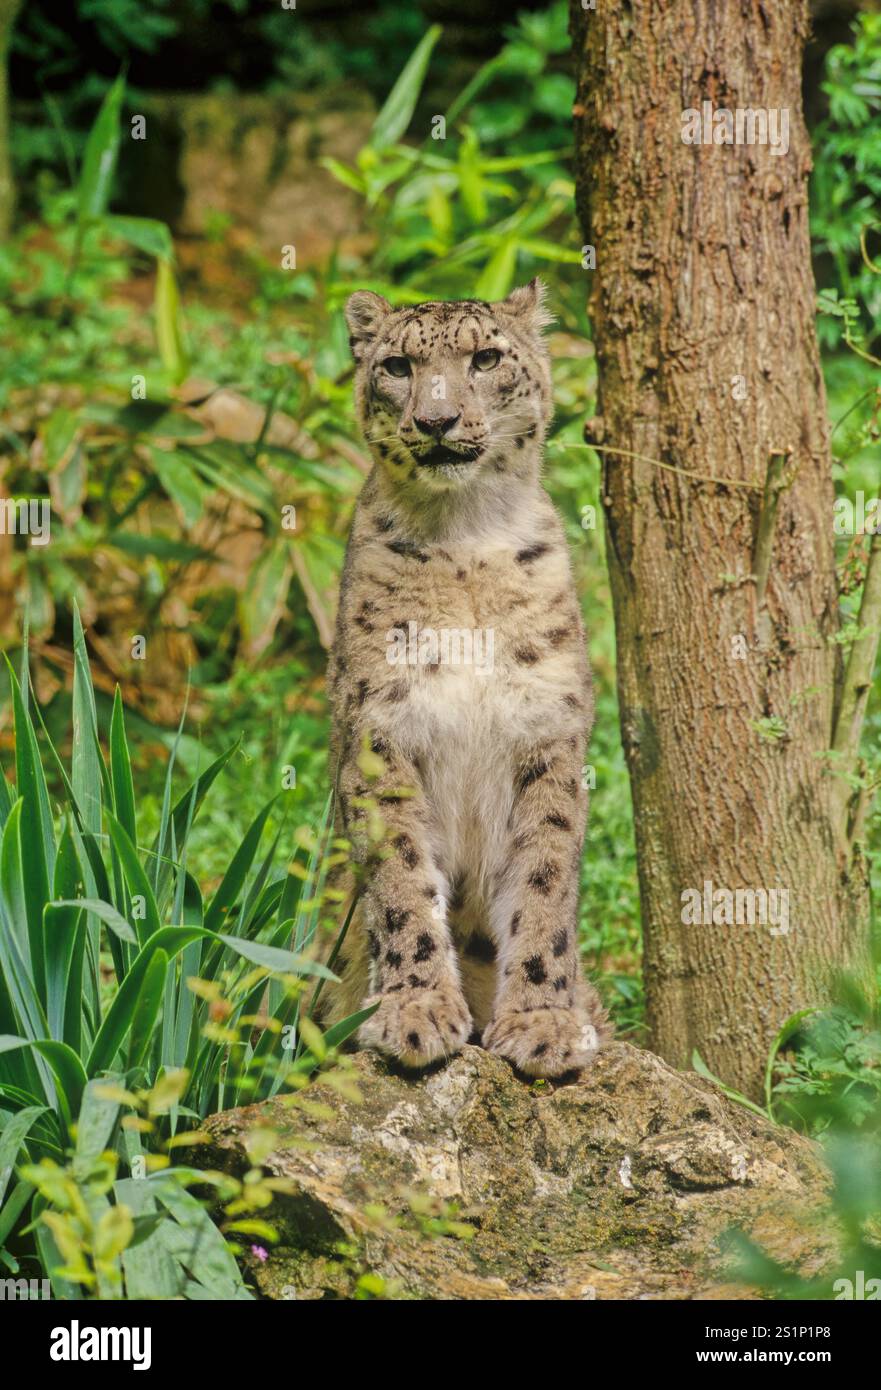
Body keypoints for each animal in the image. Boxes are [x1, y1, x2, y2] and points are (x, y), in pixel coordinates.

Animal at [320, 278, 610, 1079]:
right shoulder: (381, 737)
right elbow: (400, 882)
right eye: (396, 366)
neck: (466, 538)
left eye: (484, 358)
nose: (436, 419)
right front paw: (415, 1012)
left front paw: (542, 1024)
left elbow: (545, 882)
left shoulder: (548, 737)